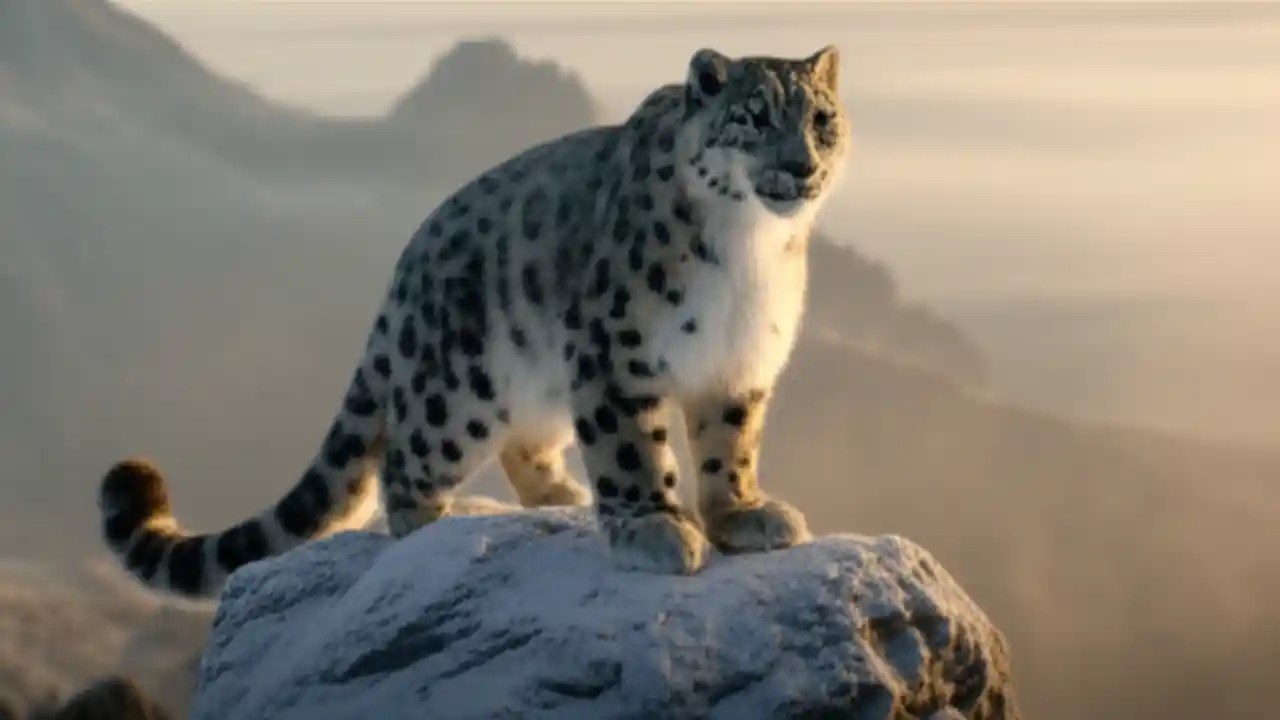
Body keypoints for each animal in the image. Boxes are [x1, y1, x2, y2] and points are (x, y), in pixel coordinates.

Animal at [98, 46, 852, 597]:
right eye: (753, 117)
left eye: (821, 119)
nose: (802, 166)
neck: (751, 250)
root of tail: (404, 271)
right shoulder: (616, 353)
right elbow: (633, 449)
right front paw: (656, 528)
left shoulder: (738, 363)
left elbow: (730, 448)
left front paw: (743, 513)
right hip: (458, 392)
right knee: (401, 460)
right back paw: (432, 517)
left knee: (524, 444)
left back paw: (558, 494)